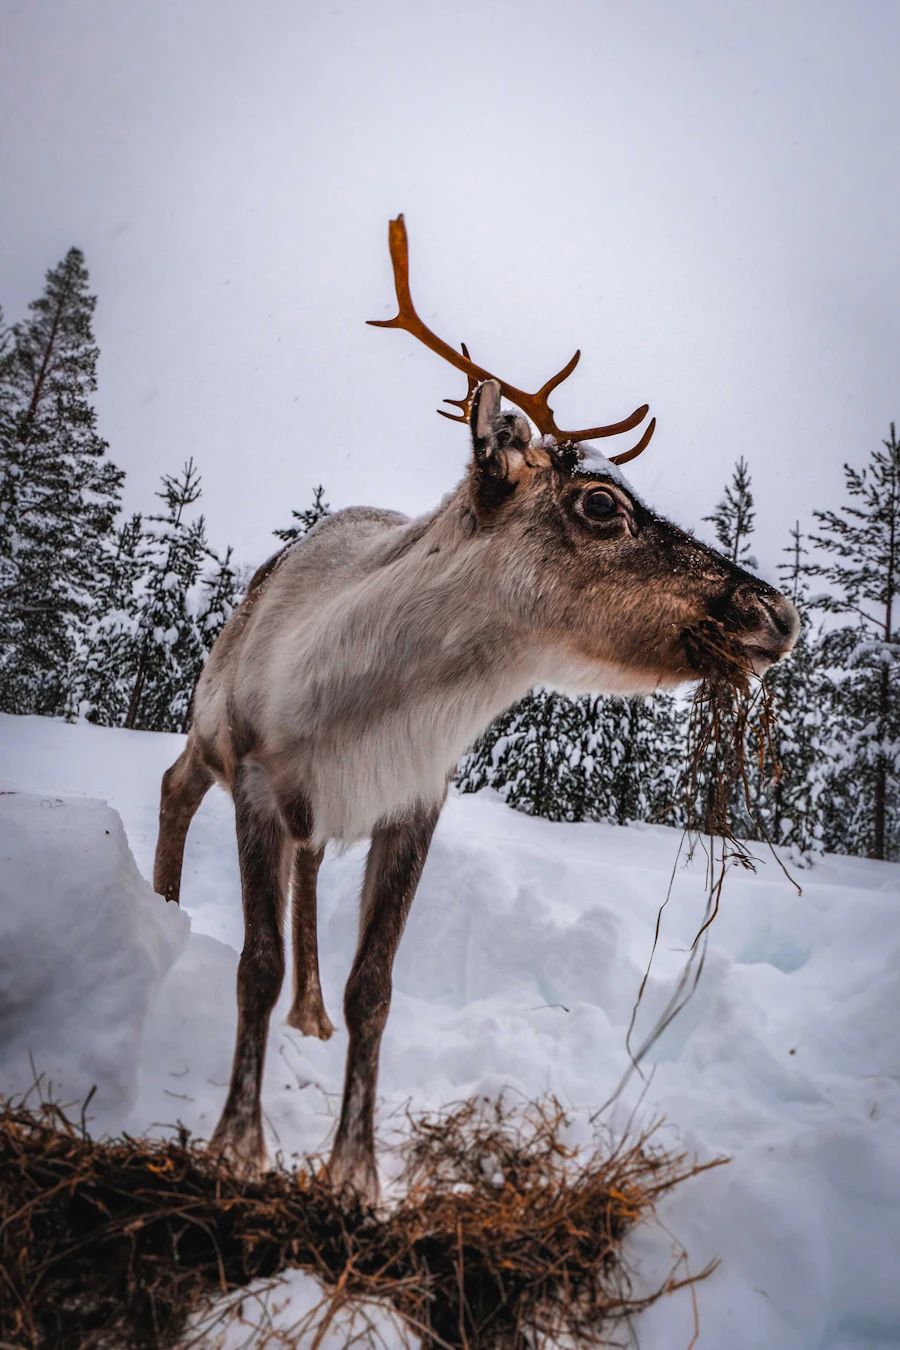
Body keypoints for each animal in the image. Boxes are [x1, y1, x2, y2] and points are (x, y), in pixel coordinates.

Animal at [153, 217, 799, 1202]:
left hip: (314, 814)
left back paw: (310, 1016)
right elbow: (253, 966)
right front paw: (235, 1145)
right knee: (174, 786)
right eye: (601, 504)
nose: (779, 614)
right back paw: (160, 911)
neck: (367, 710)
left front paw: (355, 1171)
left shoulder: (414, 802)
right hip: (206, 730)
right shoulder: (259, 780)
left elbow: (374, 989)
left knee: (310, 878)